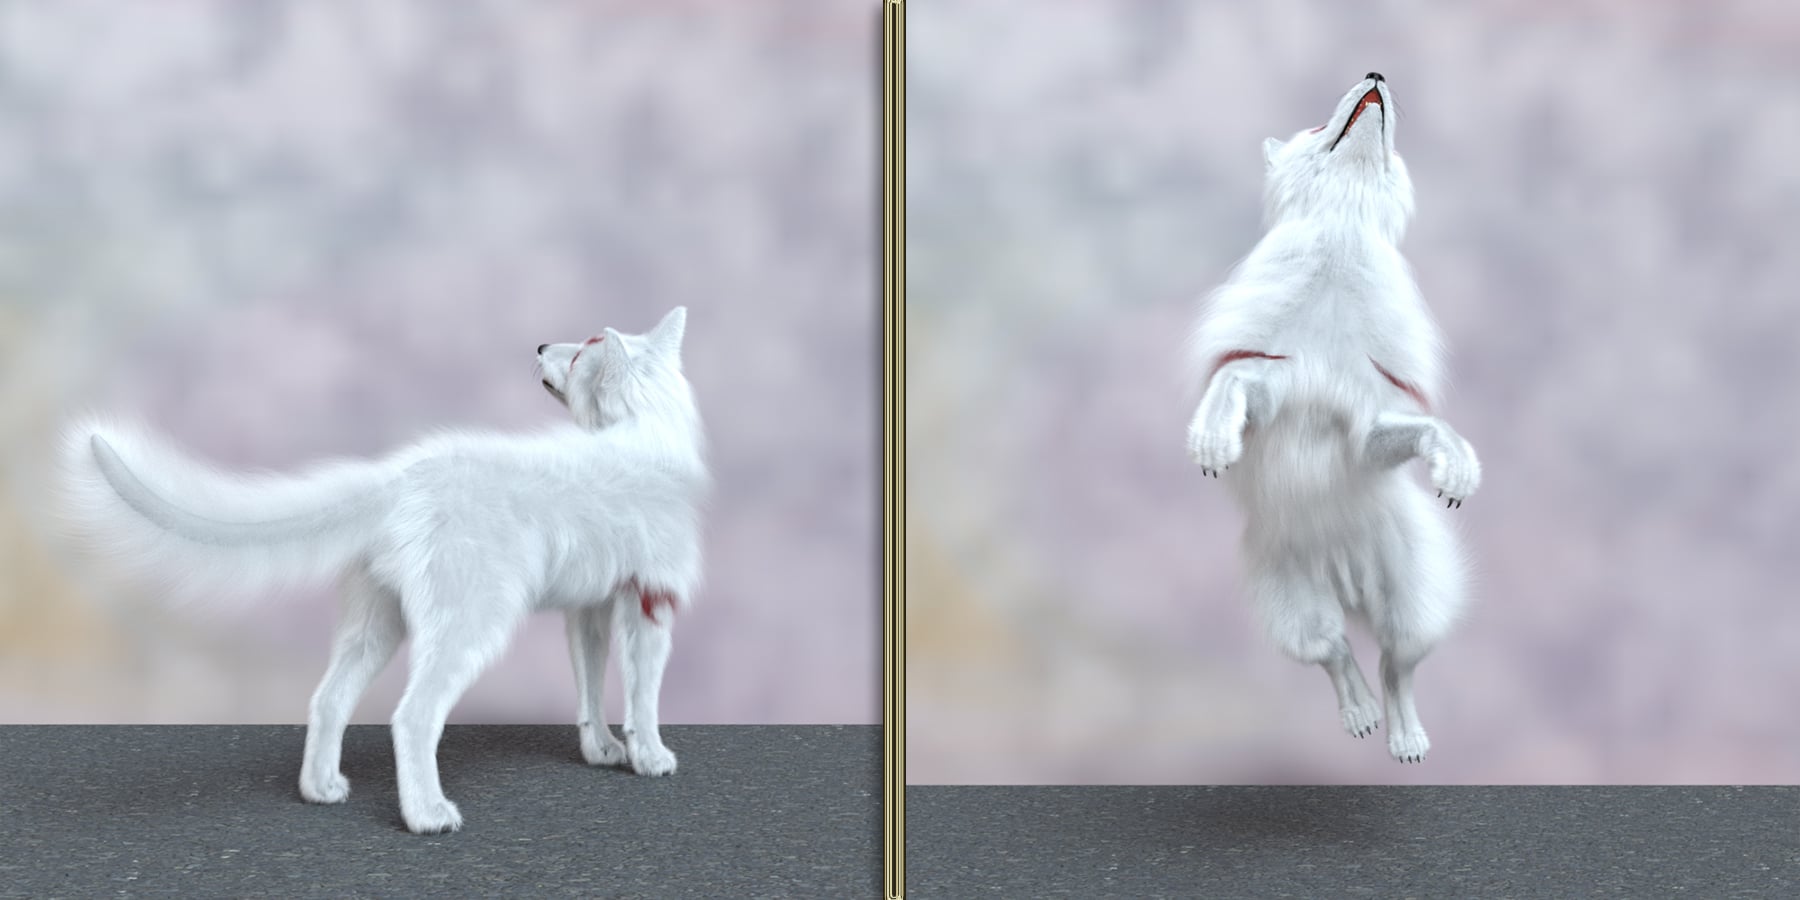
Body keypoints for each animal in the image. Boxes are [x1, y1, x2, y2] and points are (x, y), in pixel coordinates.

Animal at [57, 306, 708, 833]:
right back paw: (428, 816)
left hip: (377, 622)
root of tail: (403, 475)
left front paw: (603, 751)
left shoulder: (592, 606)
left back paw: (321, 789)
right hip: (471, 621)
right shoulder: (651, 600)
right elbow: (644, 694)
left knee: (328, 699)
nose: (543, 344)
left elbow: (592, 687)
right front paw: (652, 758)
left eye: (580, 351)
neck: (648, 434)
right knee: (411, 717)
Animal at [1185, 74, 1480, 764]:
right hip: (1300, 615)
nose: (1376, 76)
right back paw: (1360, 715)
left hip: (1412, 603)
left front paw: (1455, 466)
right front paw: (1211, 441)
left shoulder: (1366, 428)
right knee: (1339, 653)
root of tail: (1347, 584)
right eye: (1318, 128)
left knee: (1397, 664)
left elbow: (1426, 430)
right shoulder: (1269, 389)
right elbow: (1230, 382)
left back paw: (1405, 736)